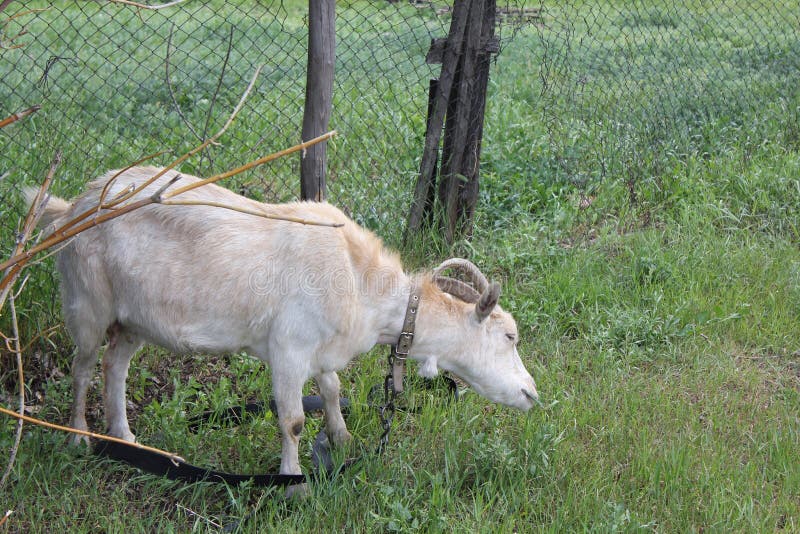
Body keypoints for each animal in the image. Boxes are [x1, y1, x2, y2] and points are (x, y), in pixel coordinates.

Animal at [28, 166, 538, 483]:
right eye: (509, 336)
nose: (532, 395)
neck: (360, 282)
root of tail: (73, 205)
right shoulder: (289, 349)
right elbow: (292, 421)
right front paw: (293, 481)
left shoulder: (321, 349)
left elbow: (331, 388)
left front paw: (342, 439)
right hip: (86, 301)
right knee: (83, 367)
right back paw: (79, 437)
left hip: (133, 318)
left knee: (115, 366)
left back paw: (127, 437)